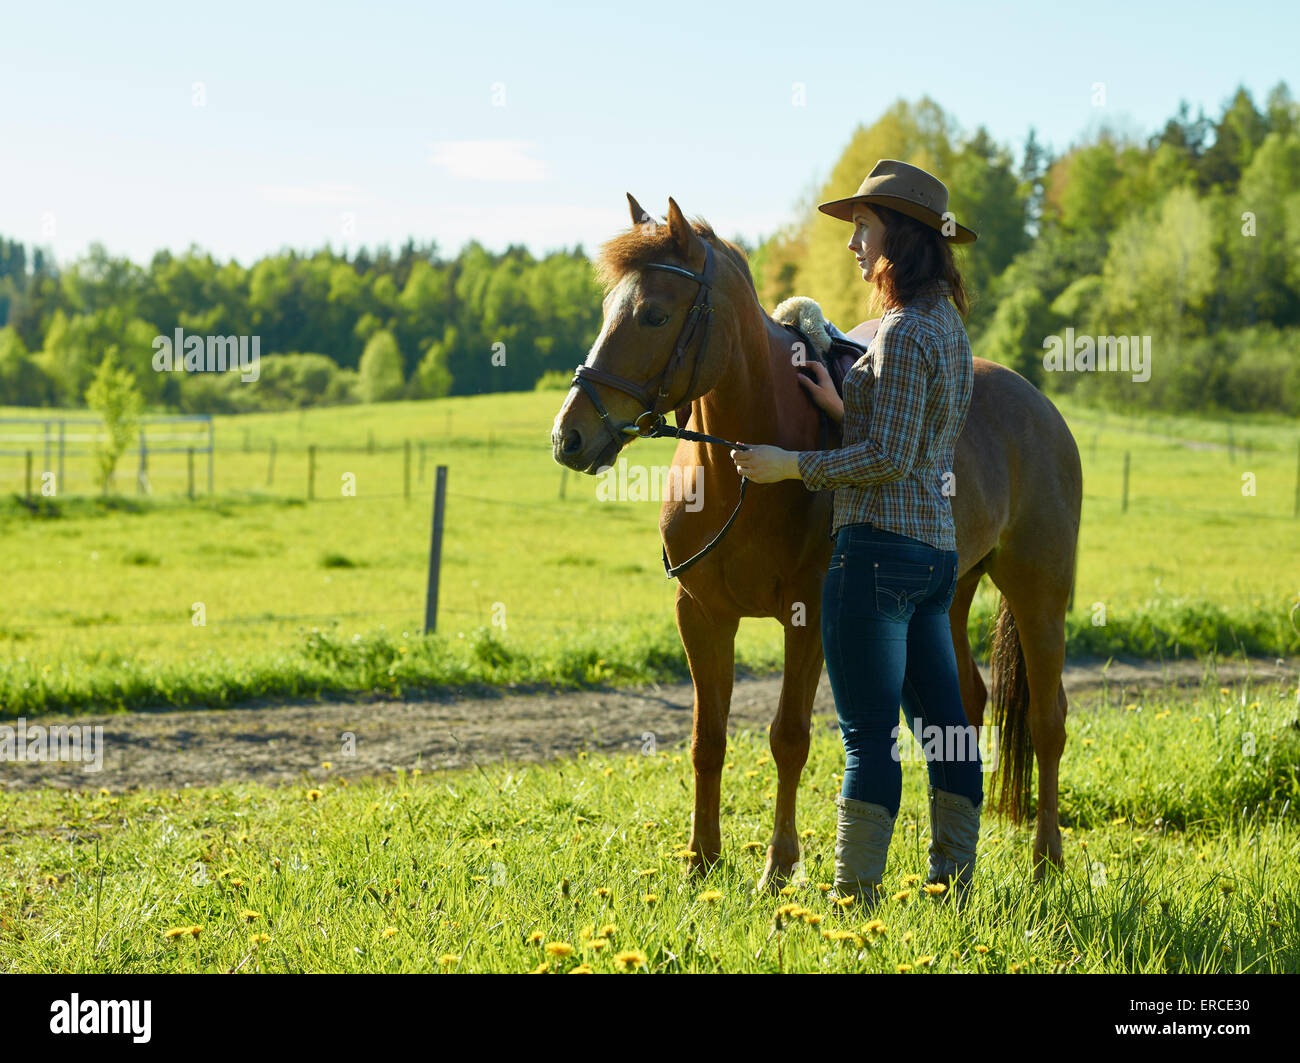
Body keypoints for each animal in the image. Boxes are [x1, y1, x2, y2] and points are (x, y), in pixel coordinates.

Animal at [550, 195, 1082, 890]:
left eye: (654, 314)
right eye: (609, 309)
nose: (570, 436)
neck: (738, 471)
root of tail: (1040, 405)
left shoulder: (809, 622)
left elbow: (788, 738)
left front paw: (778, 867)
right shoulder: (701, 616)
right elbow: (707, 739)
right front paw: (700, 860)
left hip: (1038, 595)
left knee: (1048, 721)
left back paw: (1047, 860)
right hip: (950, 598)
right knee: (961, 709)